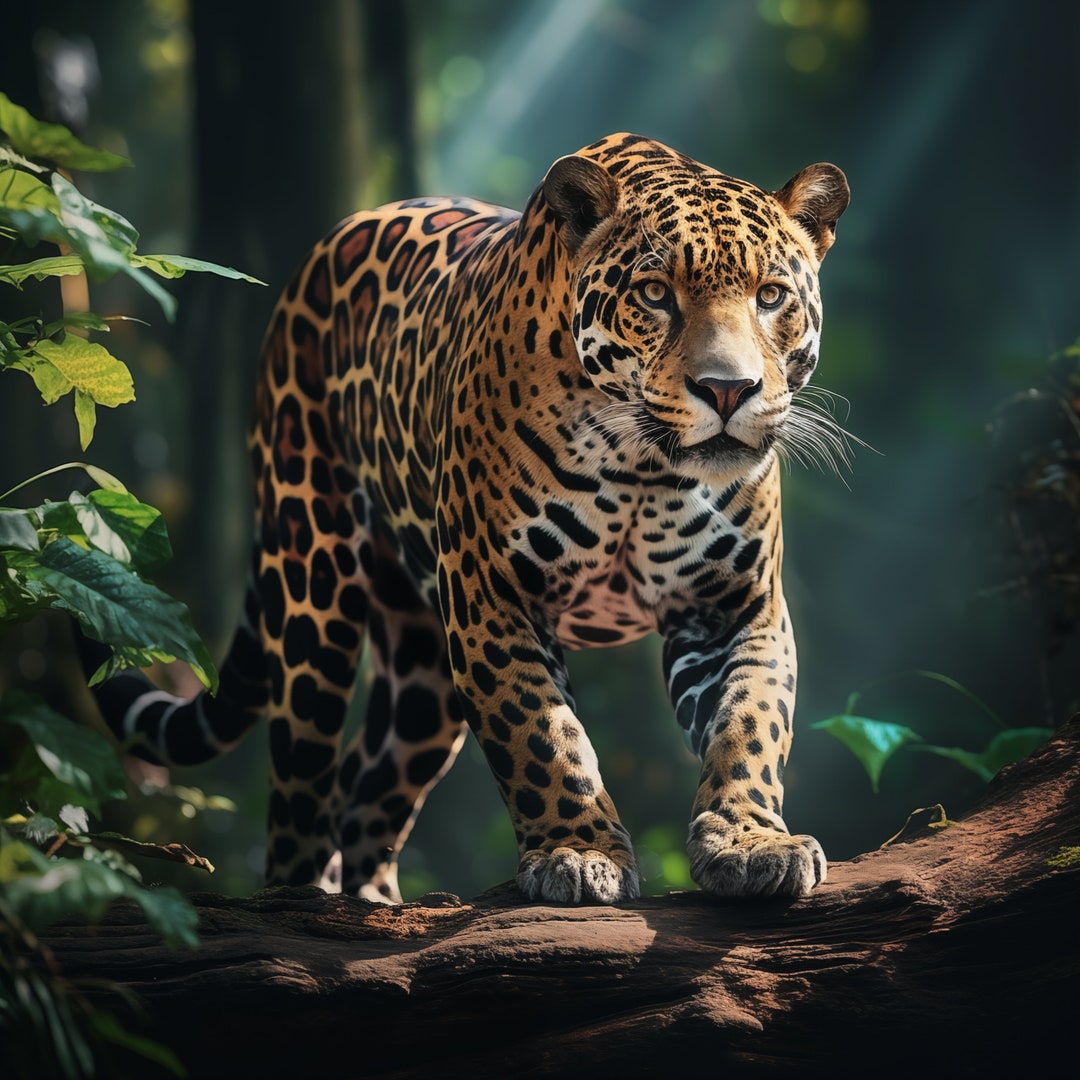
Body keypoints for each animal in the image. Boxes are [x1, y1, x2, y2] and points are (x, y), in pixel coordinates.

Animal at [85, 133, 850, 905]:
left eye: (771, 296)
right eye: (656, 294)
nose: (727, 390)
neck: (644, 465)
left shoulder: (733, 607)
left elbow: (748, 722)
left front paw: (751, 843)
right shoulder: (494, 597)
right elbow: (542, 733)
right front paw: (578, 852)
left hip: (422, 665)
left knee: (369, 793)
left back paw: (374, 905)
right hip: (314, 604)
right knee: (303, 797)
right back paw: (303, 902)